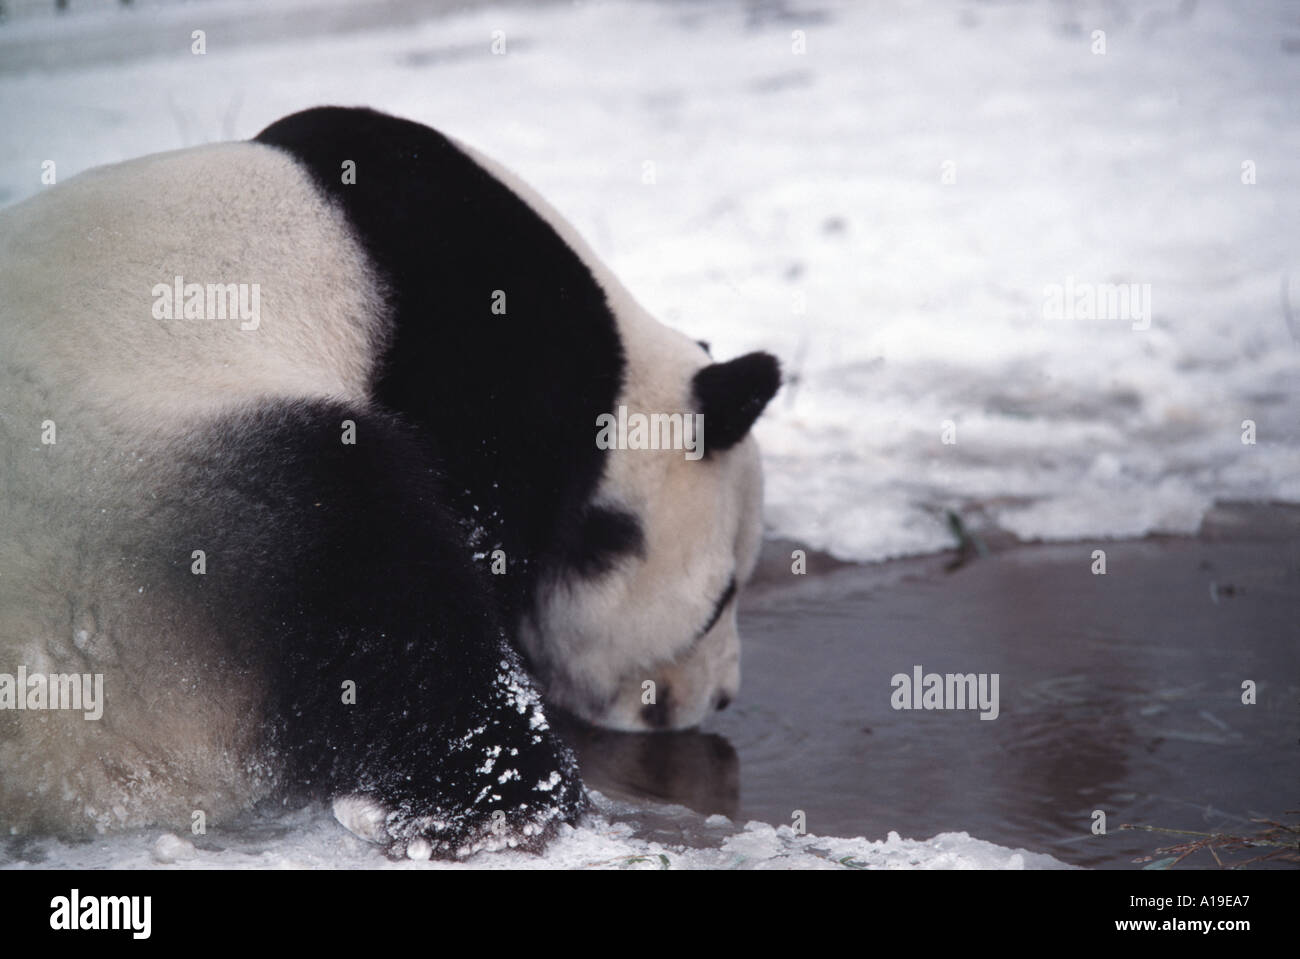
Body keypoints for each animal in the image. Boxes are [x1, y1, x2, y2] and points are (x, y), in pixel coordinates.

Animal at [0, 107, 780, 860]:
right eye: (720, 602)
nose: (719, 698)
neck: (620, 391)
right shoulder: (490, 363)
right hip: (127, 500)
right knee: (369, 561)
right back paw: (502, 800)